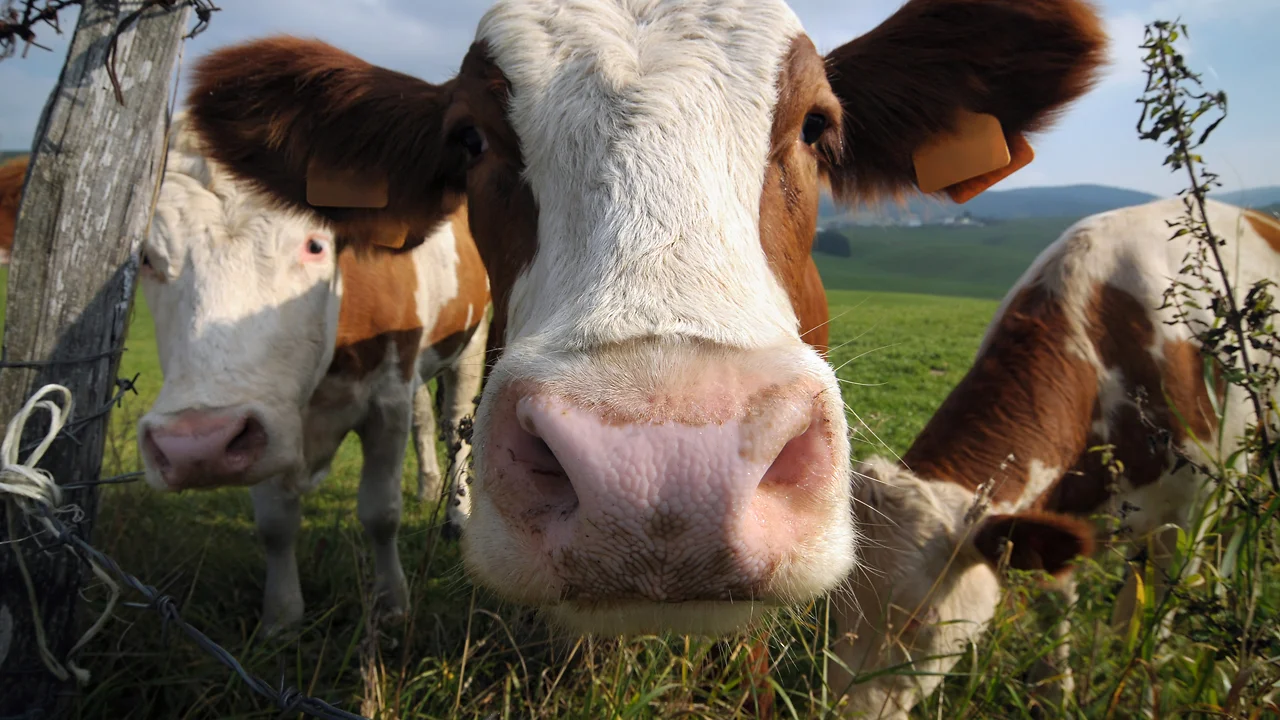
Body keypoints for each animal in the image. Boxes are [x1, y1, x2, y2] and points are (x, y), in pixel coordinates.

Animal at [135, 114, 491, 631]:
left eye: (314, 245)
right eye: (147, 258)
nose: (197, 444)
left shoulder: (385, 399)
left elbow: (380, 512)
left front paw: (392, 603)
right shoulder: (267, 416)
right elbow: (275, 525)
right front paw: (281, 617)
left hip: (469, 341)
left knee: (455, 427)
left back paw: (457, 515)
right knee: (425, 418)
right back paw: (428, 485)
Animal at [830, 198, 1280, 718]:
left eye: (919, 622)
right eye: (834, 609)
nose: (841, 711)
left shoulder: (1192, 513)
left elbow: (1153, 622)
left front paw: (1140, 691)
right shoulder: (1054, 512)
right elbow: (1056, 602)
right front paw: (1052, 692)